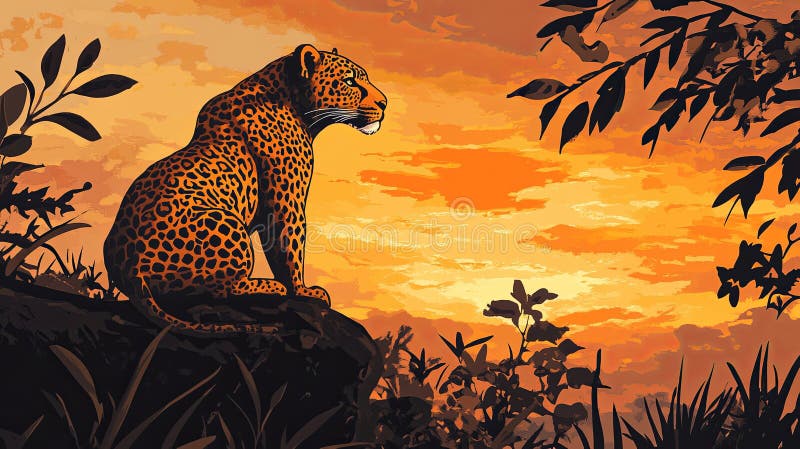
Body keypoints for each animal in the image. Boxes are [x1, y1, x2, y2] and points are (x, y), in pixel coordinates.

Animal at [103, 44, 387, 336]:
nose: (385, 103)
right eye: (350, 81)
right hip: (226, 222)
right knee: (223, 290)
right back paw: (271, 287)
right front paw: (302, 290)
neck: (295, 102)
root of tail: (131, 273)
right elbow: (290, 244)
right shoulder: (287, 201)